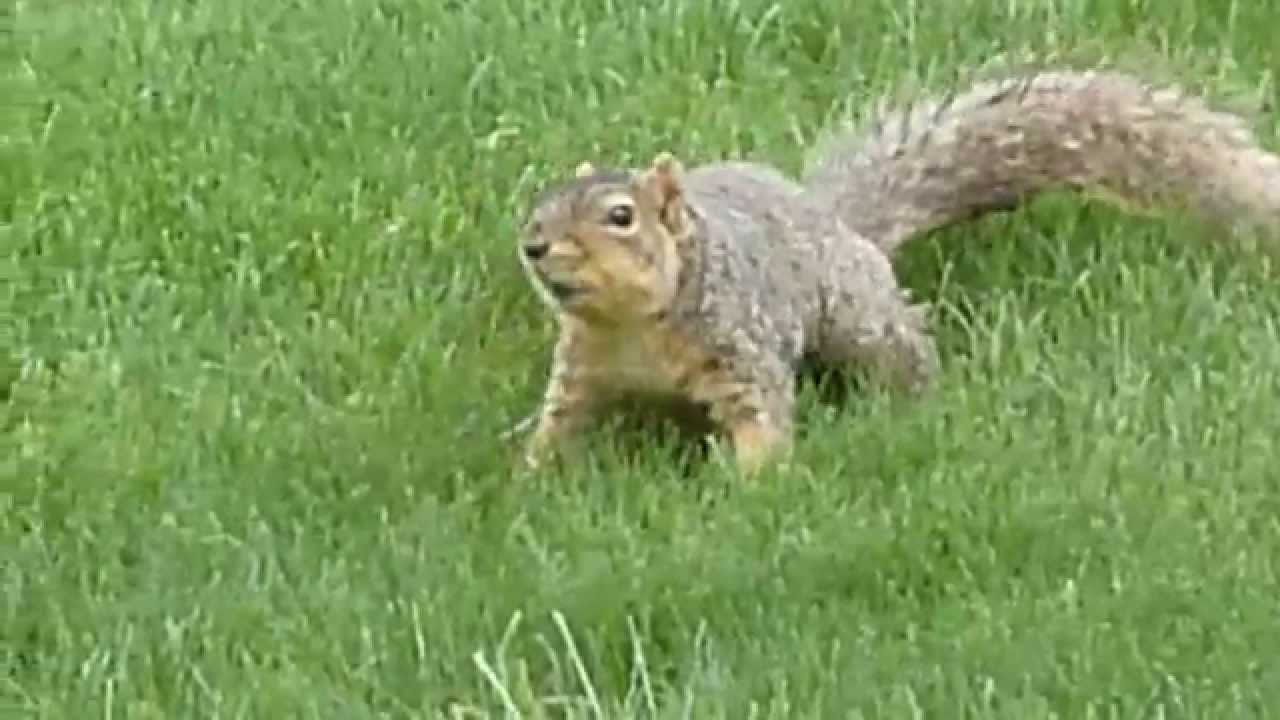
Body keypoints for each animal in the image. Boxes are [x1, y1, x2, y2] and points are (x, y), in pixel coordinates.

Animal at [511, 68, 1280, 475]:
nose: (533, 245)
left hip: (858, 316)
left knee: (900, 343)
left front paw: (748, 481)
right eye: (543, 201)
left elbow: (763, 416)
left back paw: (916, 399)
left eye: (620, 217)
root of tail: (837, 224)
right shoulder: (582, 369)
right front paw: (530, 475)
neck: (633, 326)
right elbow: (559, 423)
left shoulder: (741, 347)